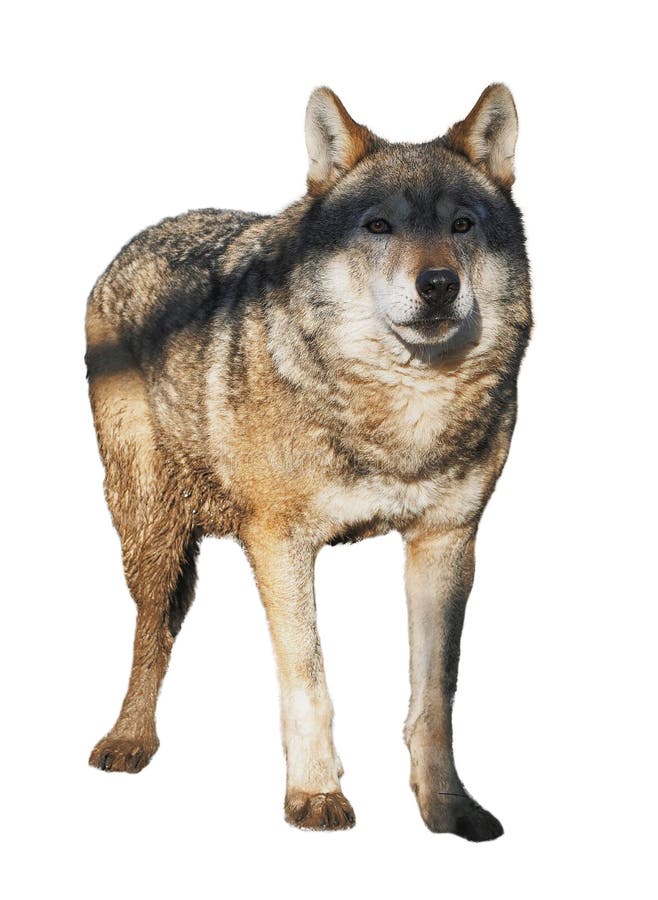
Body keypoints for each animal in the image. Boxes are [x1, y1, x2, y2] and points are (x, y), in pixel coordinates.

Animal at [85, 83, 531, 840]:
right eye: (378, 226)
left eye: (463, 224)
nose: (439, 284)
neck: (403, 419)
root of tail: (138, 238)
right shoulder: (280, 542)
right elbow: (308, 678)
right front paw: (315, 795)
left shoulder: (447, 541)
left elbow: (435, 694)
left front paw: (447, 808)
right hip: (151, 529)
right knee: (150, 631)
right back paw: (129, 740)